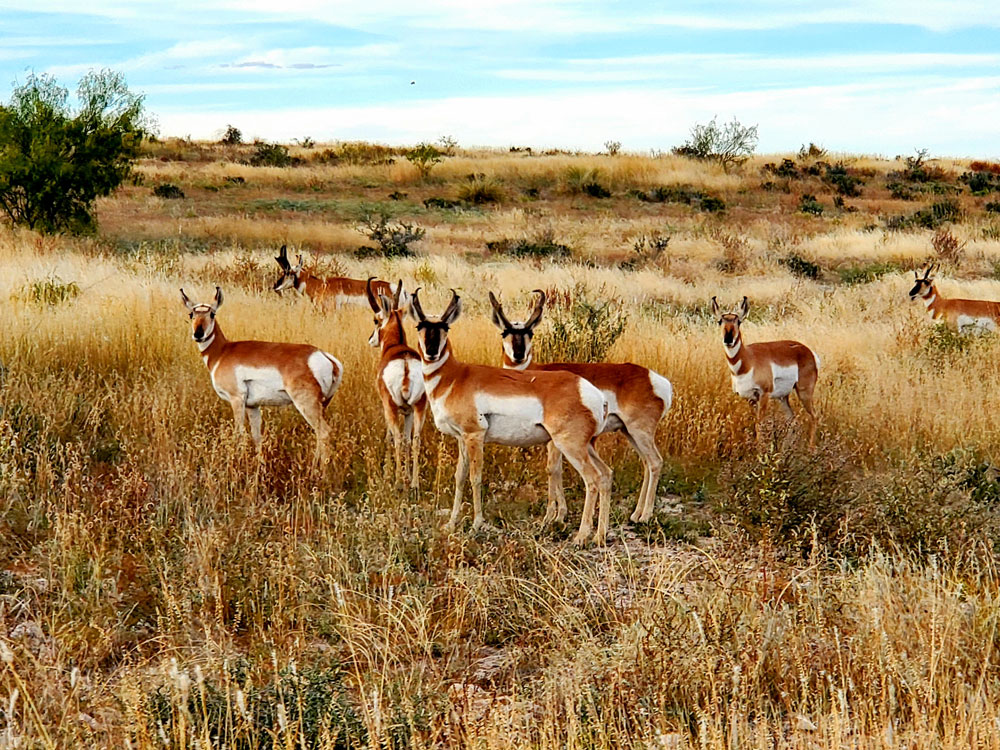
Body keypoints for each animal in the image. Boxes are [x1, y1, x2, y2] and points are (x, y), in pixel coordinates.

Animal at [180, 287, 343, 461]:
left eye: (212, 313)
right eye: (191, 314)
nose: (198, 334)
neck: (222, 352)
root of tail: (324, 356)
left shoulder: (237, 399)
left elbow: (239, 434)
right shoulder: (253, 406)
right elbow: (256, 436)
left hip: (306, 403)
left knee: (324, 432)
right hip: (322, 405)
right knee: (319, 435)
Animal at [366, 277, 427, 491]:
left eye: (376, 320)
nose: (371, 340)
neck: (396, 348)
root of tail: (406, 365)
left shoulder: (387, 408)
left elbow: (390, 437)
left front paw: (389, 476)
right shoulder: (408, 412)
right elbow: (409, 440)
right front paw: (408, 476)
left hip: (392, 409)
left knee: (398, 439)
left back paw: (398, 482)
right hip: (420, 408)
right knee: (415, 440)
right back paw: (414, 484)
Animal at [410, 289, 614, 546]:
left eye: (445, 326)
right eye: (420, 326)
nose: (431, 351)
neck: (455, 377)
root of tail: (590, 391)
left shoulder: (475, 436)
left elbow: (476, 478)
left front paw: (477, 524)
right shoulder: (461, 439)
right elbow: (459, 477)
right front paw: (451, 523)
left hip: (571, 446)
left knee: (593, 479)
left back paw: (581, 536)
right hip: (587, 446)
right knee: (606, 475)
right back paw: (599, 536)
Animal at [488, 290, 673, 524]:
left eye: (530, 331)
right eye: (505, 331)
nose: (518, 355)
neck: (534, 373)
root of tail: (654, 378)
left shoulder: (555, 439)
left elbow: (552, 469)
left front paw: (552, 517)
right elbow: (556, 469)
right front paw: (559, 514)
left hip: (639, 431)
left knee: (655, 462)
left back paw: (645, 516)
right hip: (629, 432)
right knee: (647, 463)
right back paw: (635, 514)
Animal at [712, 296, 818, 445]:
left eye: (739, 321)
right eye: (720, 321)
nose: (728, 339)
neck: (748, 360)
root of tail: (807, 351)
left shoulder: (764, 395)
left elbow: (759, 424)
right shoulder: (750, 398)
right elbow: (754, 423)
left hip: (804, 392)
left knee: (813, 416)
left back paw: (811, 448)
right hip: (783, 397)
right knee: (791, 418)